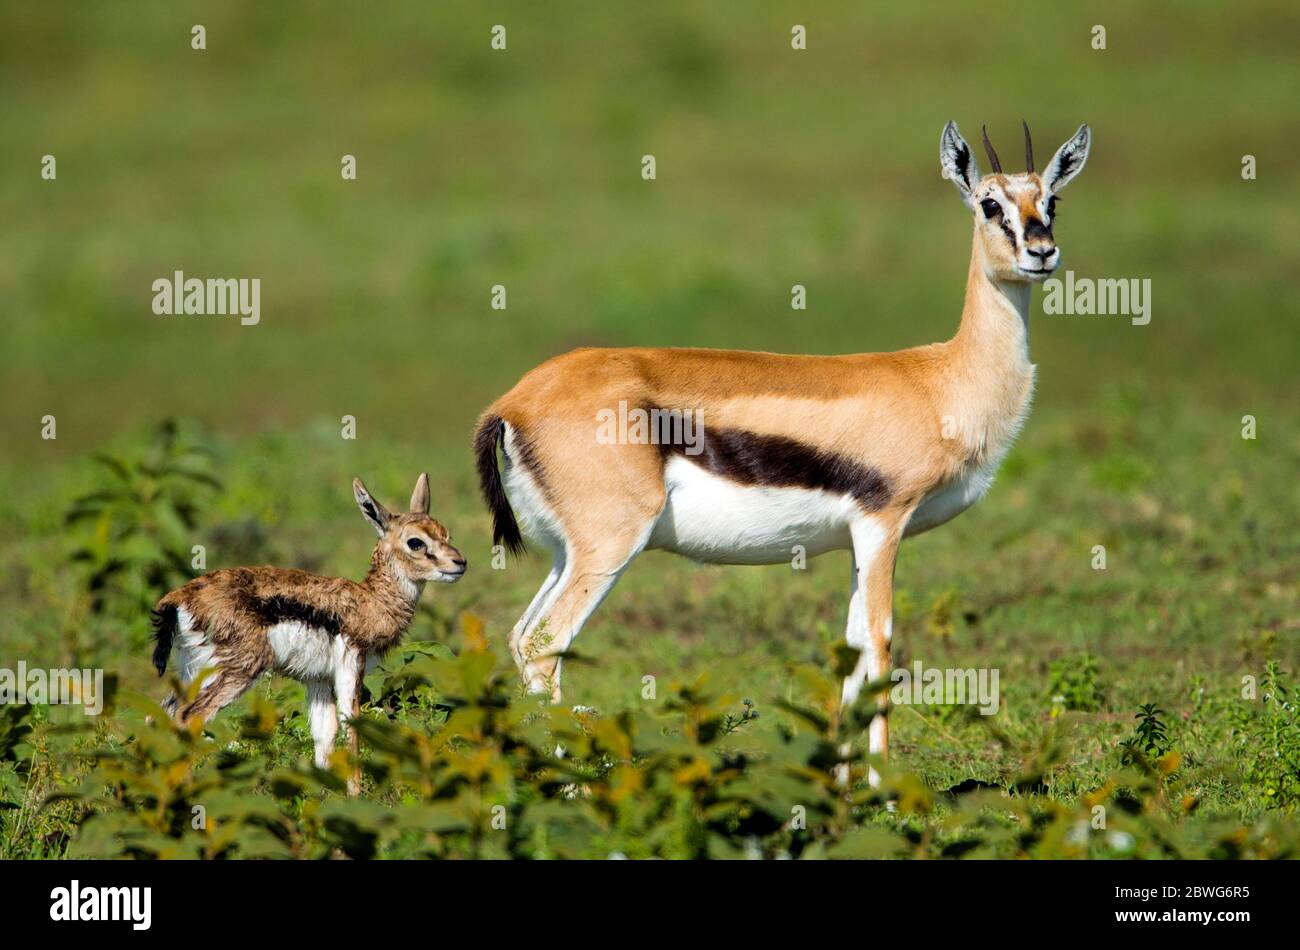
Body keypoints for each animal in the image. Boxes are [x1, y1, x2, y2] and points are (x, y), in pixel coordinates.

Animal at [150, 474, 466, 793]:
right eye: (415, 542)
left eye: (446, 534)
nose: (460, 563)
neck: (371, 601)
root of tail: (178, 598)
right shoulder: (351, 665)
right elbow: (351, 722)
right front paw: (356, 794)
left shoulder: (318, 679)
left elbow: (324, 734)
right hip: (235, 670)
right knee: (189, 716)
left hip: (192, 672)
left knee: (162, 713)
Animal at [473, 121, 1091, 781]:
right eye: (990, 204)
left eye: (1051, 201)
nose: (1041, 252)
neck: (940, 382)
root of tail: (512, 402)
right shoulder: (883, 524)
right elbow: (880, 646)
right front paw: (880, 786)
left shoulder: (857, 541)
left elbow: (852, 649)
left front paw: (842, 782)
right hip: (612, 546)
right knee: (546, 644)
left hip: (569, 553)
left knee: (522, 637)